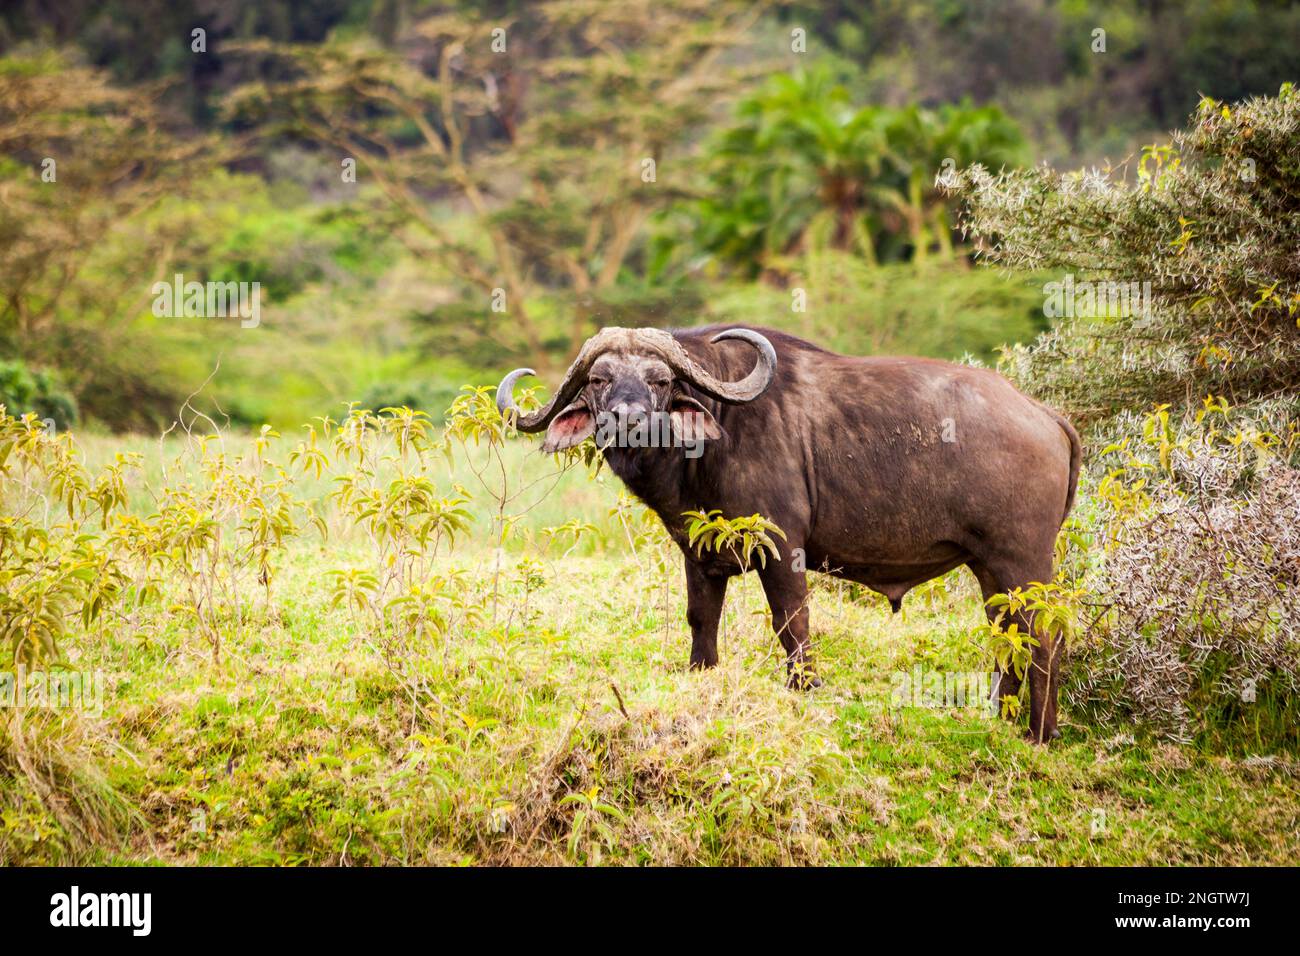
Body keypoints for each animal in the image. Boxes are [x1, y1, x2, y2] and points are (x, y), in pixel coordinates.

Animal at [497, 325, 1081, 742]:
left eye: (660, 381)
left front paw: (804, 688)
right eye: (599, 380)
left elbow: (791, 623)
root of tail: (1044, 413)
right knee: (1009, 635)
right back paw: (1001, 720)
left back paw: (1039, 733)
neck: (715, 437)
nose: (629, 418)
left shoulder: (783, 549)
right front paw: (702, 677)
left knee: (1044, 637)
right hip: (990, 571)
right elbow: (701, 621)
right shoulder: (700, 555)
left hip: (1024, 564)